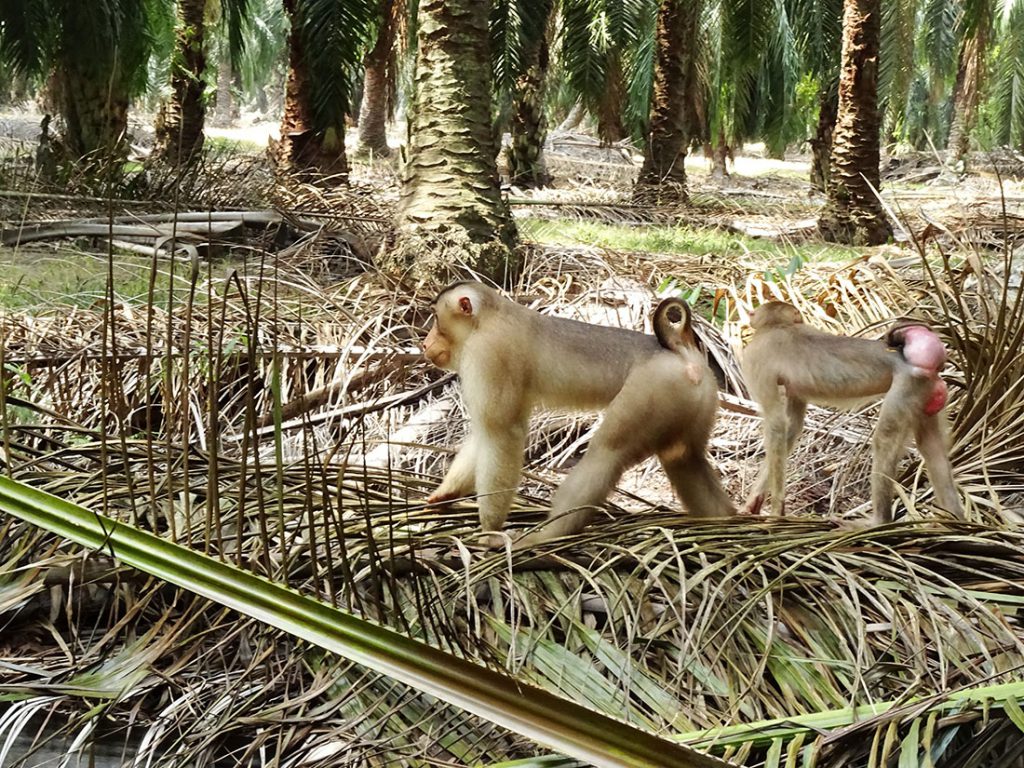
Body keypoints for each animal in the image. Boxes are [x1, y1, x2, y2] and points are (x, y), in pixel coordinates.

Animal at [422, 281, 735, 548]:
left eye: (436, 319)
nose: (425, 343)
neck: (487, 319)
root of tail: (682, 354)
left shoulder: (488, 354)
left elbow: (501, 433)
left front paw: (490, 530)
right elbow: (490, 432)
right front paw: (446, 494)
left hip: (654, 390)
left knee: (607, 452)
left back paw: (550, 534)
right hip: (694, 399)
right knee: (684, 457)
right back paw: (725, 523)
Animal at [740, 301, 963, 525]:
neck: (777, 325)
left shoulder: (754, 357)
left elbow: (776, 424)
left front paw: (775, 510)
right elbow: (791, 428)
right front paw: (756, 501)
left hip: (907, 386)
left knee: (884, 440)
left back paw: (879, 520)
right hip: (926, 391)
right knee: (931, 448)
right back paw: (955, 518)